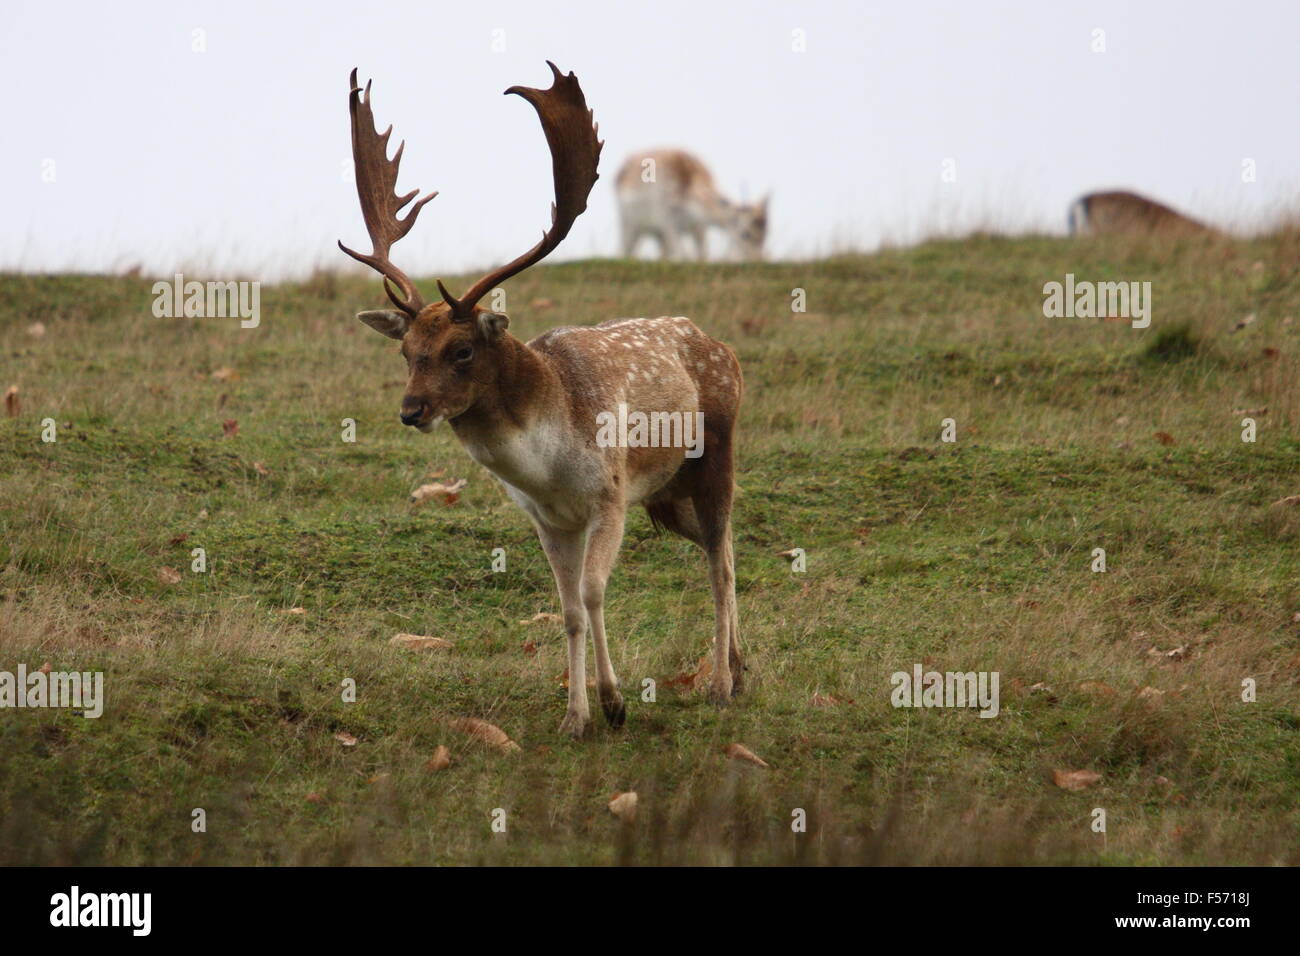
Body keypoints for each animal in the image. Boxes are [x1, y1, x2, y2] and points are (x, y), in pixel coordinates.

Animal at [338, 64, 745, 739]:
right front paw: (576, 718)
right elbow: (569, 608)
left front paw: (615, 702)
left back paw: (718, 685)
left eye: (461, 350)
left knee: (719, 561)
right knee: (729, 547)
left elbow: (595, 593)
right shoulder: (546, 517)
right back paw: (742, 669)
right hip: (666, 495)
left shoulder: (609, 495)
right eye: (407, 352)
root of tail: (723, 347)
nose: (411, 410)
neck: (548, 463)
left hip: (714, 454)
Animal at [616, 149, 769, 261]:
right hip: (628, 224)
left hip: (654, 232)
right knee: (625, 250)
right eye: (745, 234)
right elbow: (682, 254)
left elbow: (702, 253)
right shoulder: (667, 218)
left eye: (765, 234)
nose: (758, 259)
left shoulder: (699, 227)